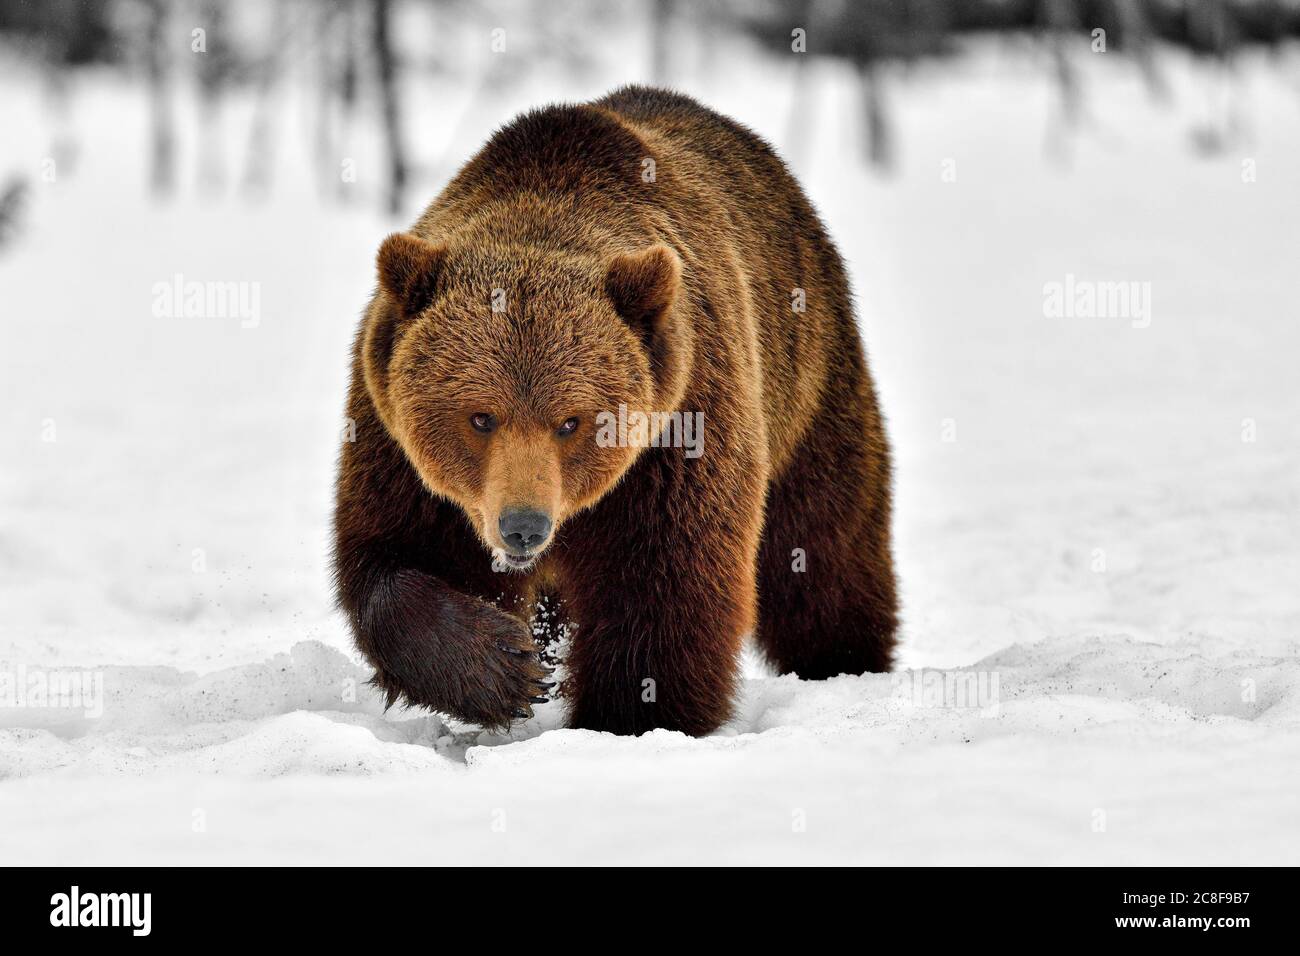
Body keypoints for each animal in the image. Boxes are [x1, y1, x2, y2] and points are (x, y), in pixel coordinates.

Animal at [333, 85, 897, 737]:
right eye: (480, 417)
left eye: (571, 421)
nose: (523, 526)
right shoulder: (393, 440)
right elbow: (394, 557)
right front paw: (503, 667)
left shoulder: (679, 428)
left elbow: (664, 589)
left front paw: (625, 717)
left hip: (810, 383)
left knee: (823, 549)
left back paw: (844, 660)